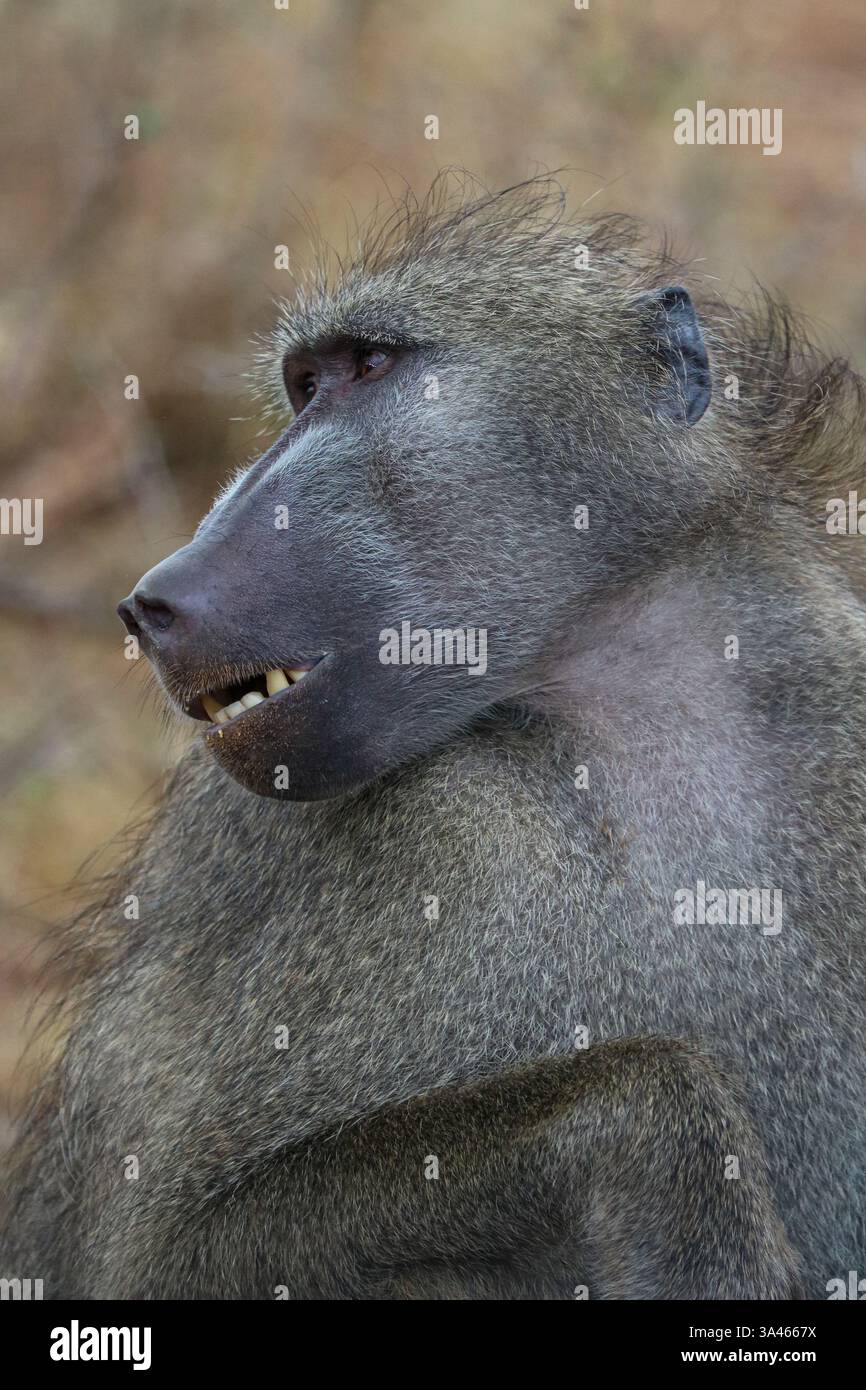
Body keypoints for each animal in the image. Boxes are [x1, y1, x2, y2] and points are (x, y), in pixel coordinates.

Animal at [2, 173, 865, 1299]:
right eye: (303, 385)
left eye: (369, 368)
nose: (154, 602)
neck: (639, 717)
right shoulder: (426, 831)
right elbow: (160, 1255)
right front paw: (673, 1160)